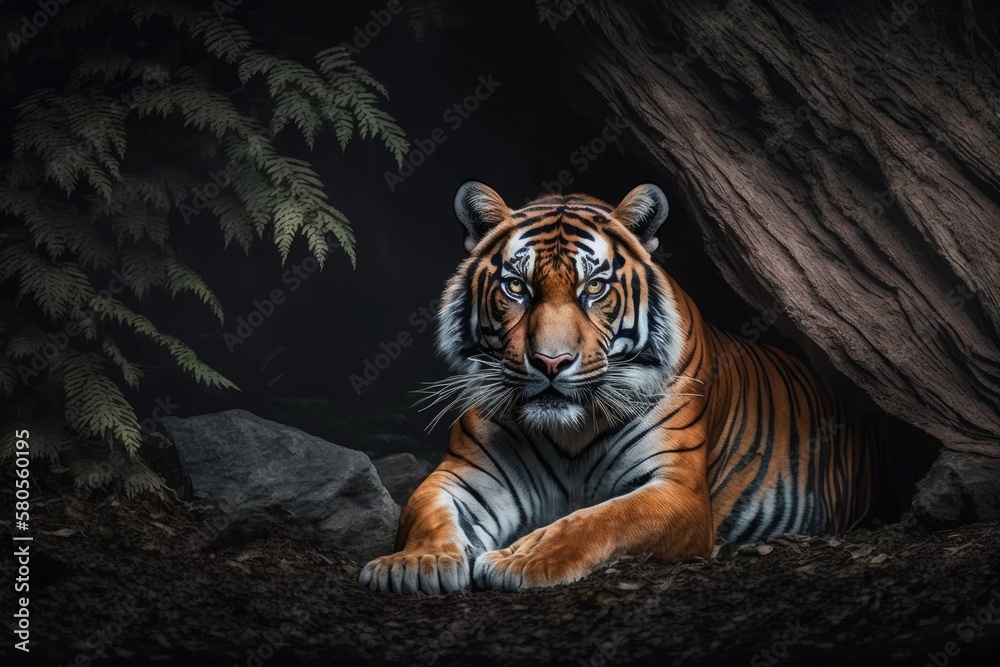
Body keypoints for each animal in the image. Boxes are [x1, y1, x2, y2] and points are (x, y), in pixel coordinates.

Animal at [359, 181, 874, 593]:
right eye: (516, 287)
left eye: (594, 288)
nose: (551, 361)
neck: (568, 432)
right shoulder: (467, 472)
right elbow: (426, 509)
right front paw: (416, 562)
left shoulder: (678, 490)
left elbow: (598, 519)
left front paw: (525, 558)